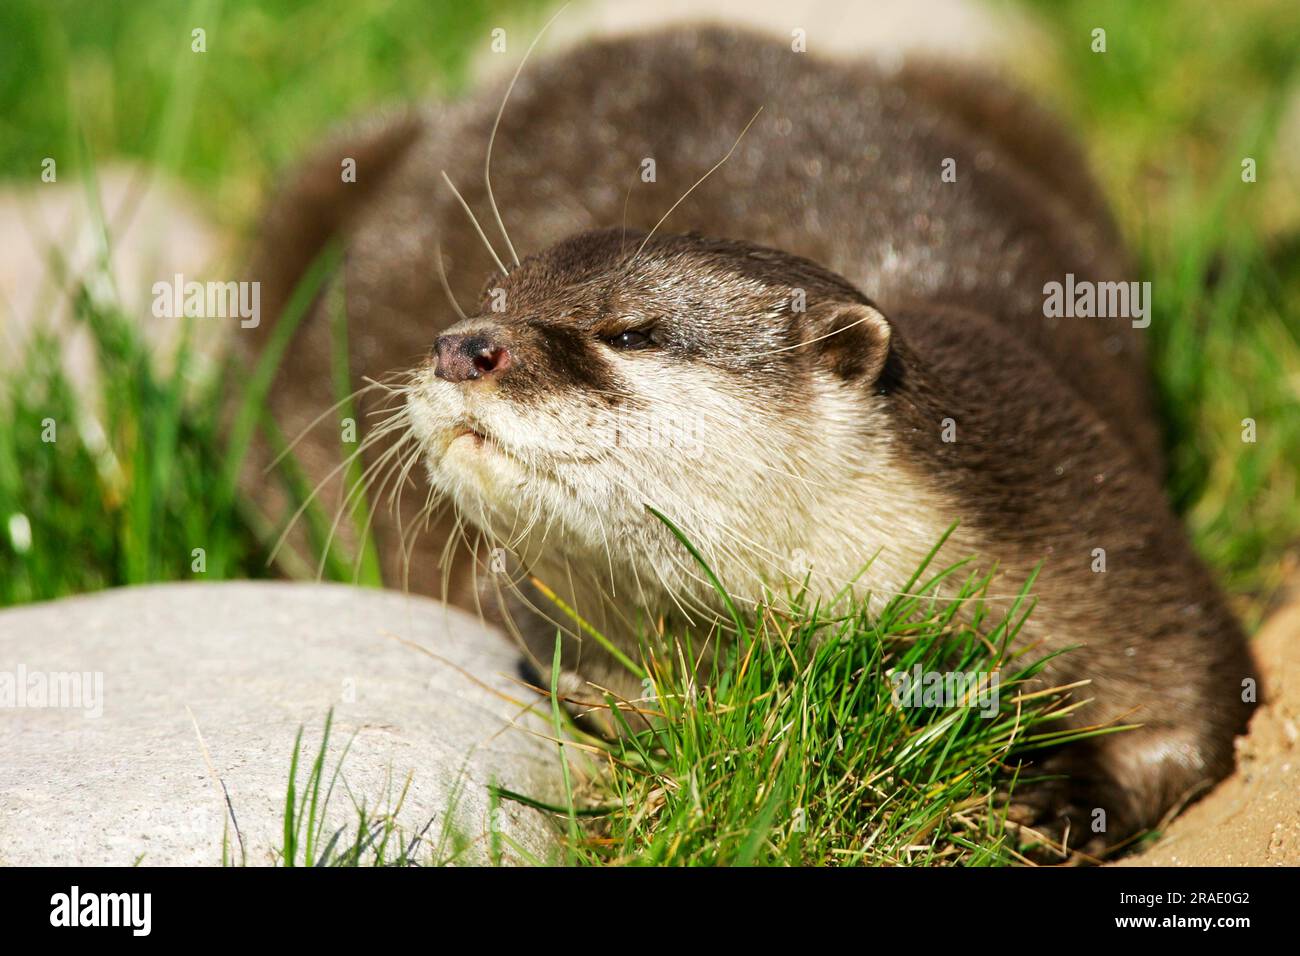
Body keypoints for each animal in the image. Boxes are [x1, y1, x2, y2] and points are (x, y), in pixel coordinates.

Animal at [243, 26, 1256, 852]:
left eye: (630, 332)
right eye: (488, 299)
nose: (461, 344)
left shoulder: (1083, 515)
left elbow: (1192, 690)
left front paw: (1061, 802)